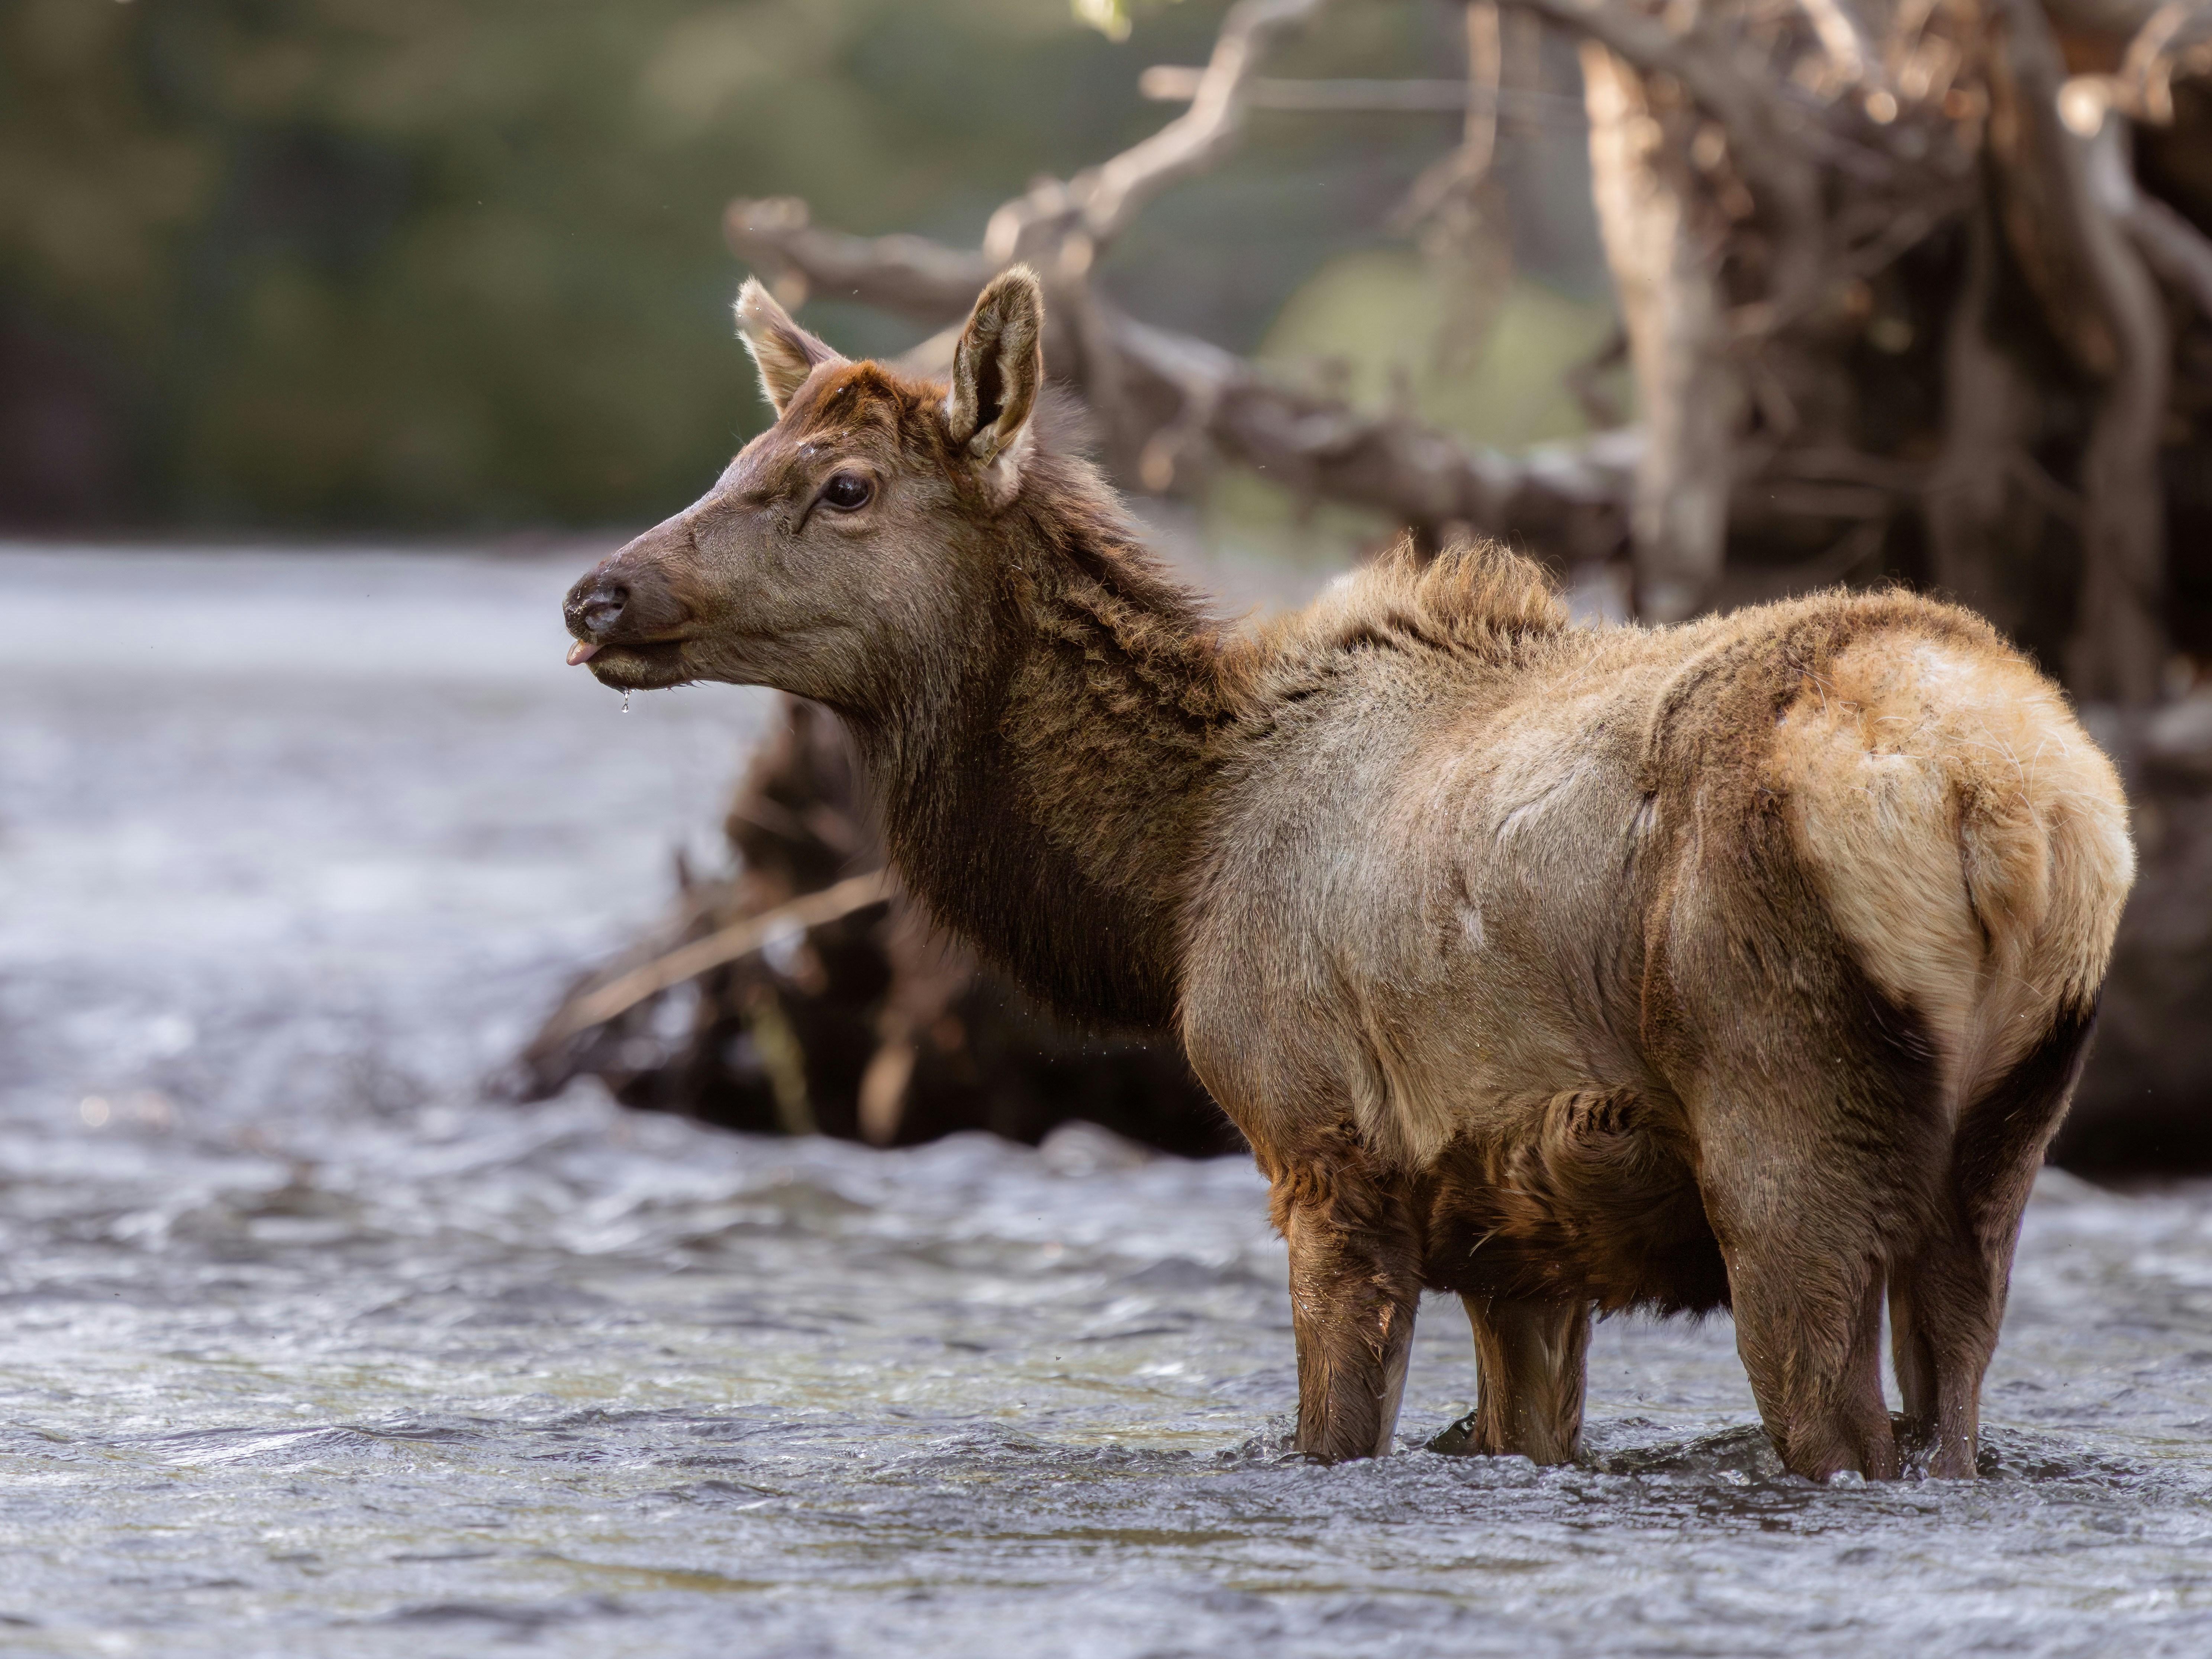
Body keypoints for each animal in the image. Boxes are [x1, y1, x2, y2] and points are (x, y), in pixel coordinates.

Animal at [562, 267, 2135, 1482]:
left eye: (842, 486)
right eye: (735, 463)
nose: (596, 593)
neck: (1166, 874)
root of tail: (2006, 800)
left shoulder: (1322, 1143)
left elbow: (1335, 1427)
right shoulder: (1520, 1243)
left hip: (1783, 1115)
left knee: (1838, 1425)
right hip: (2006, 1135)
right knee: (1954, 1402)